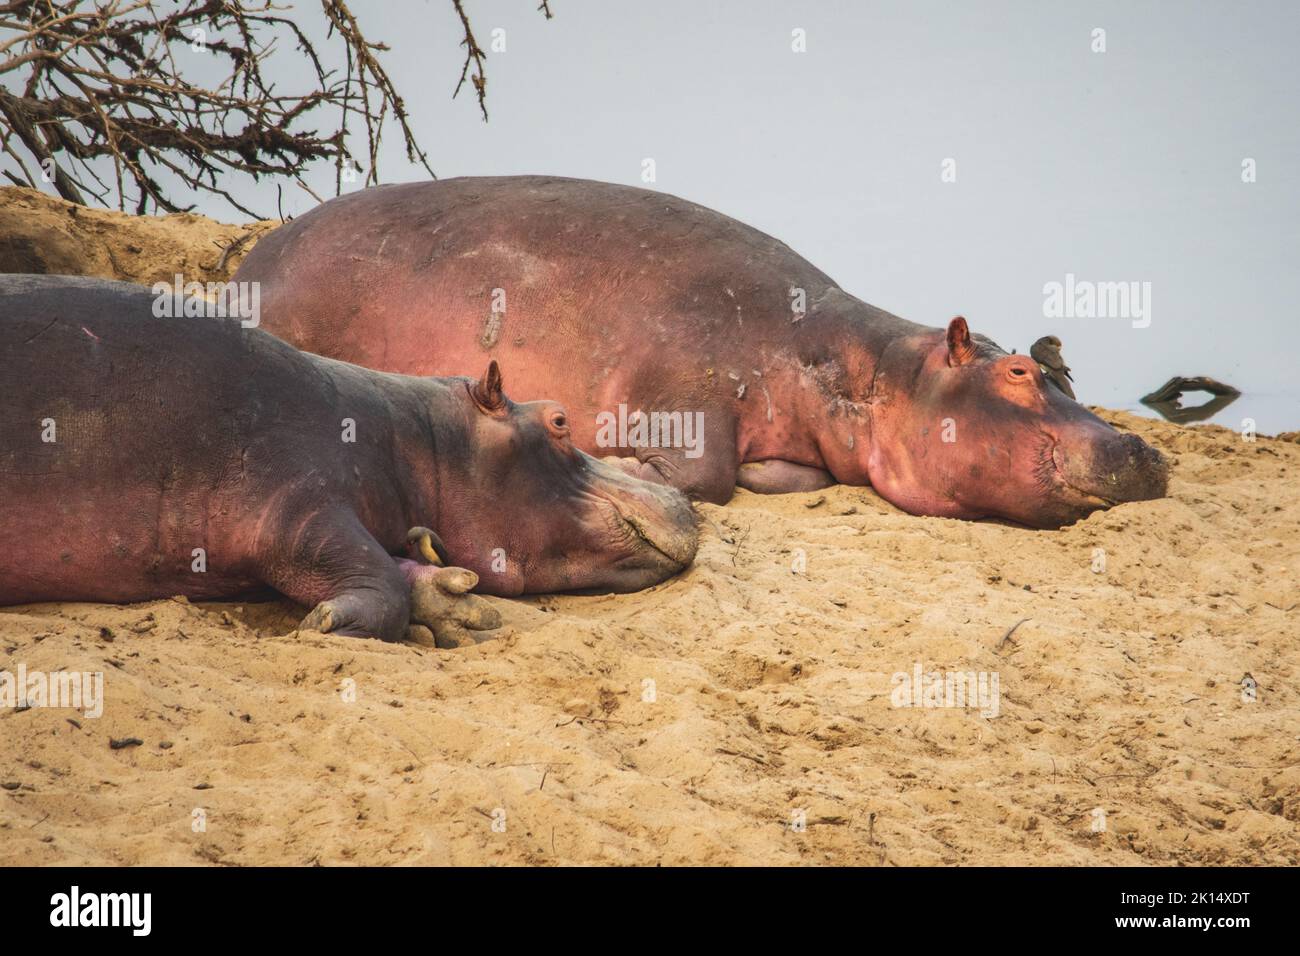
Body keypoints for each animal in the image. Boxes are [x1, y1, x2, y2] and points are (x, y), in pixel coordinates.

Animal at [0, 275, 698, 642]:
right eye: (558, 420)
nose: (682, 495)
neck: (412, 438)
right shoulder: (295, 495)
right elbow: (373, 579)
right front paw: (327, 621)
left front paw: (452, 597)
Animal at [236, 176, 1169, 527]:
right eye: (1017, 372)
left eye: (1062, 366)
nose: (1142, 447)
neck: (869, 367)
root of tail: (247, 261)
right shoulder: (683, 383)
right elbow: (704, 472)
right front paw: (632, 468)